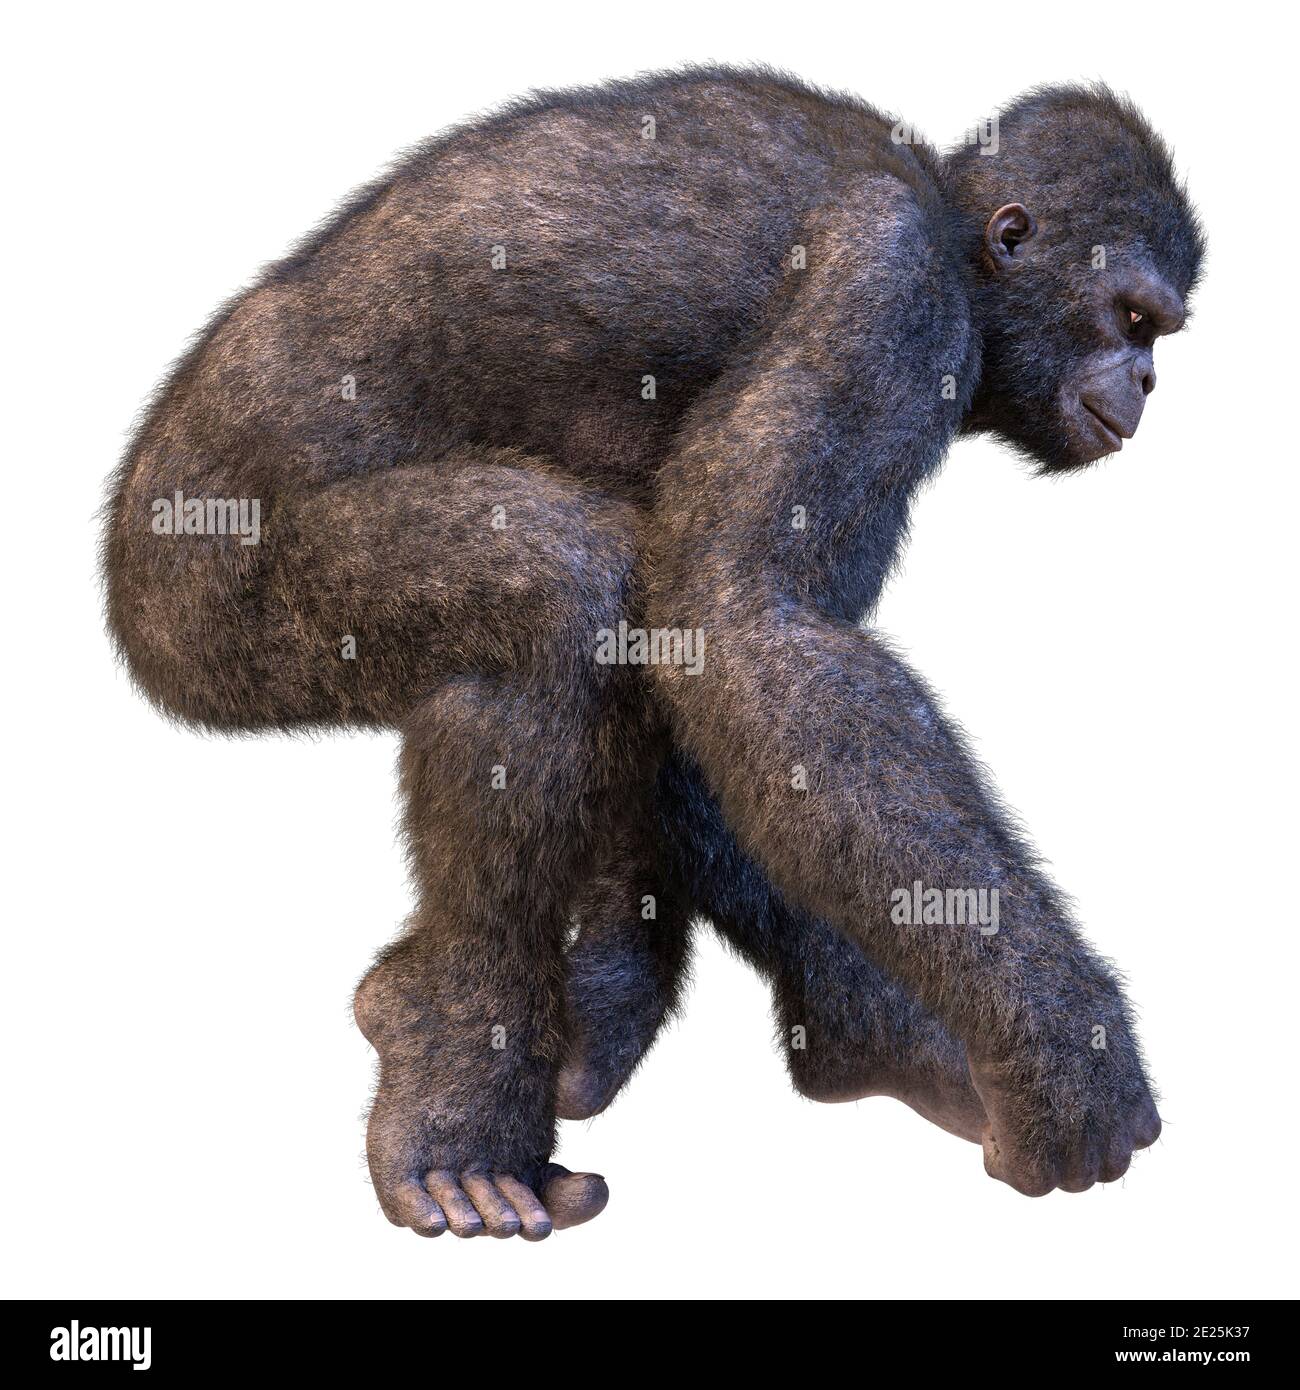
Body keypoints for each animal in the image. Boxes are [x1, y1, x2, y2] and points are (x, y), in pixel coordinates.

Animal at [102, 67, 1204, 1238]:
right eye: (1134, 318)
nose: (1145, 379)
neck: (956, 234)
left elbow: (745, 682)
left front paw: (632, 1000)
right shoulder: (888, 288)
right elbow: (742, 619)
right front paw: (1067, 1054)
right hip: (203, 594)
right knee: (556, 591)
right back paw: (454, 1106)